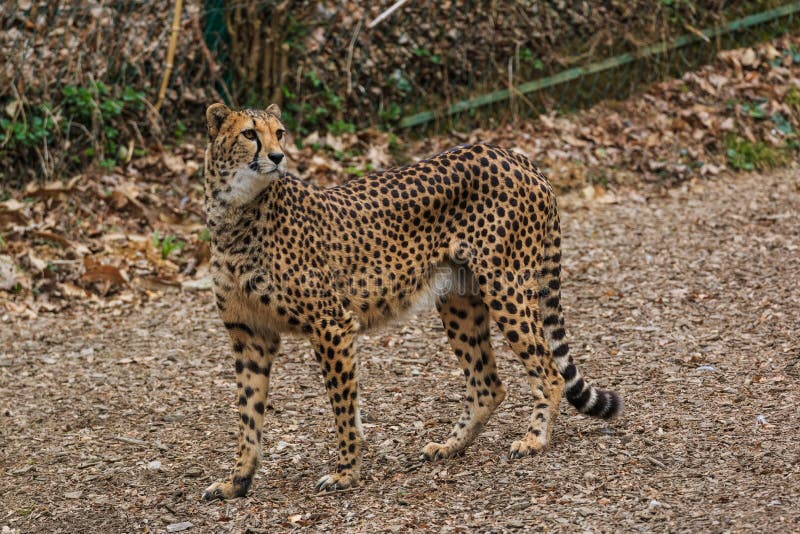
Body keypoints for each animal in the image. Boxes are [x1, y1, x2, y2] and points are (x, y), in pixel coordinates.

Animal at [201, 102, 622, 501]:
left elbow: (343, 408)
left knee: (549, 372)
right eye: (250, 134)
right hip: (458, 300)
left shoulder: (332, 326)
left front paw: (345, 473)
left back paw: (534, 438)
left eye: (280, 132)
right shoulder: (250, 336)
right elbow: (248, 415)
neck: (235, 211)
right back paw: (450, 446)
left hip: (505, 287)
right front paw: (236, 481)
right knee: (488, 384)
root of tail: (513, 154)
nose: (277, 157)